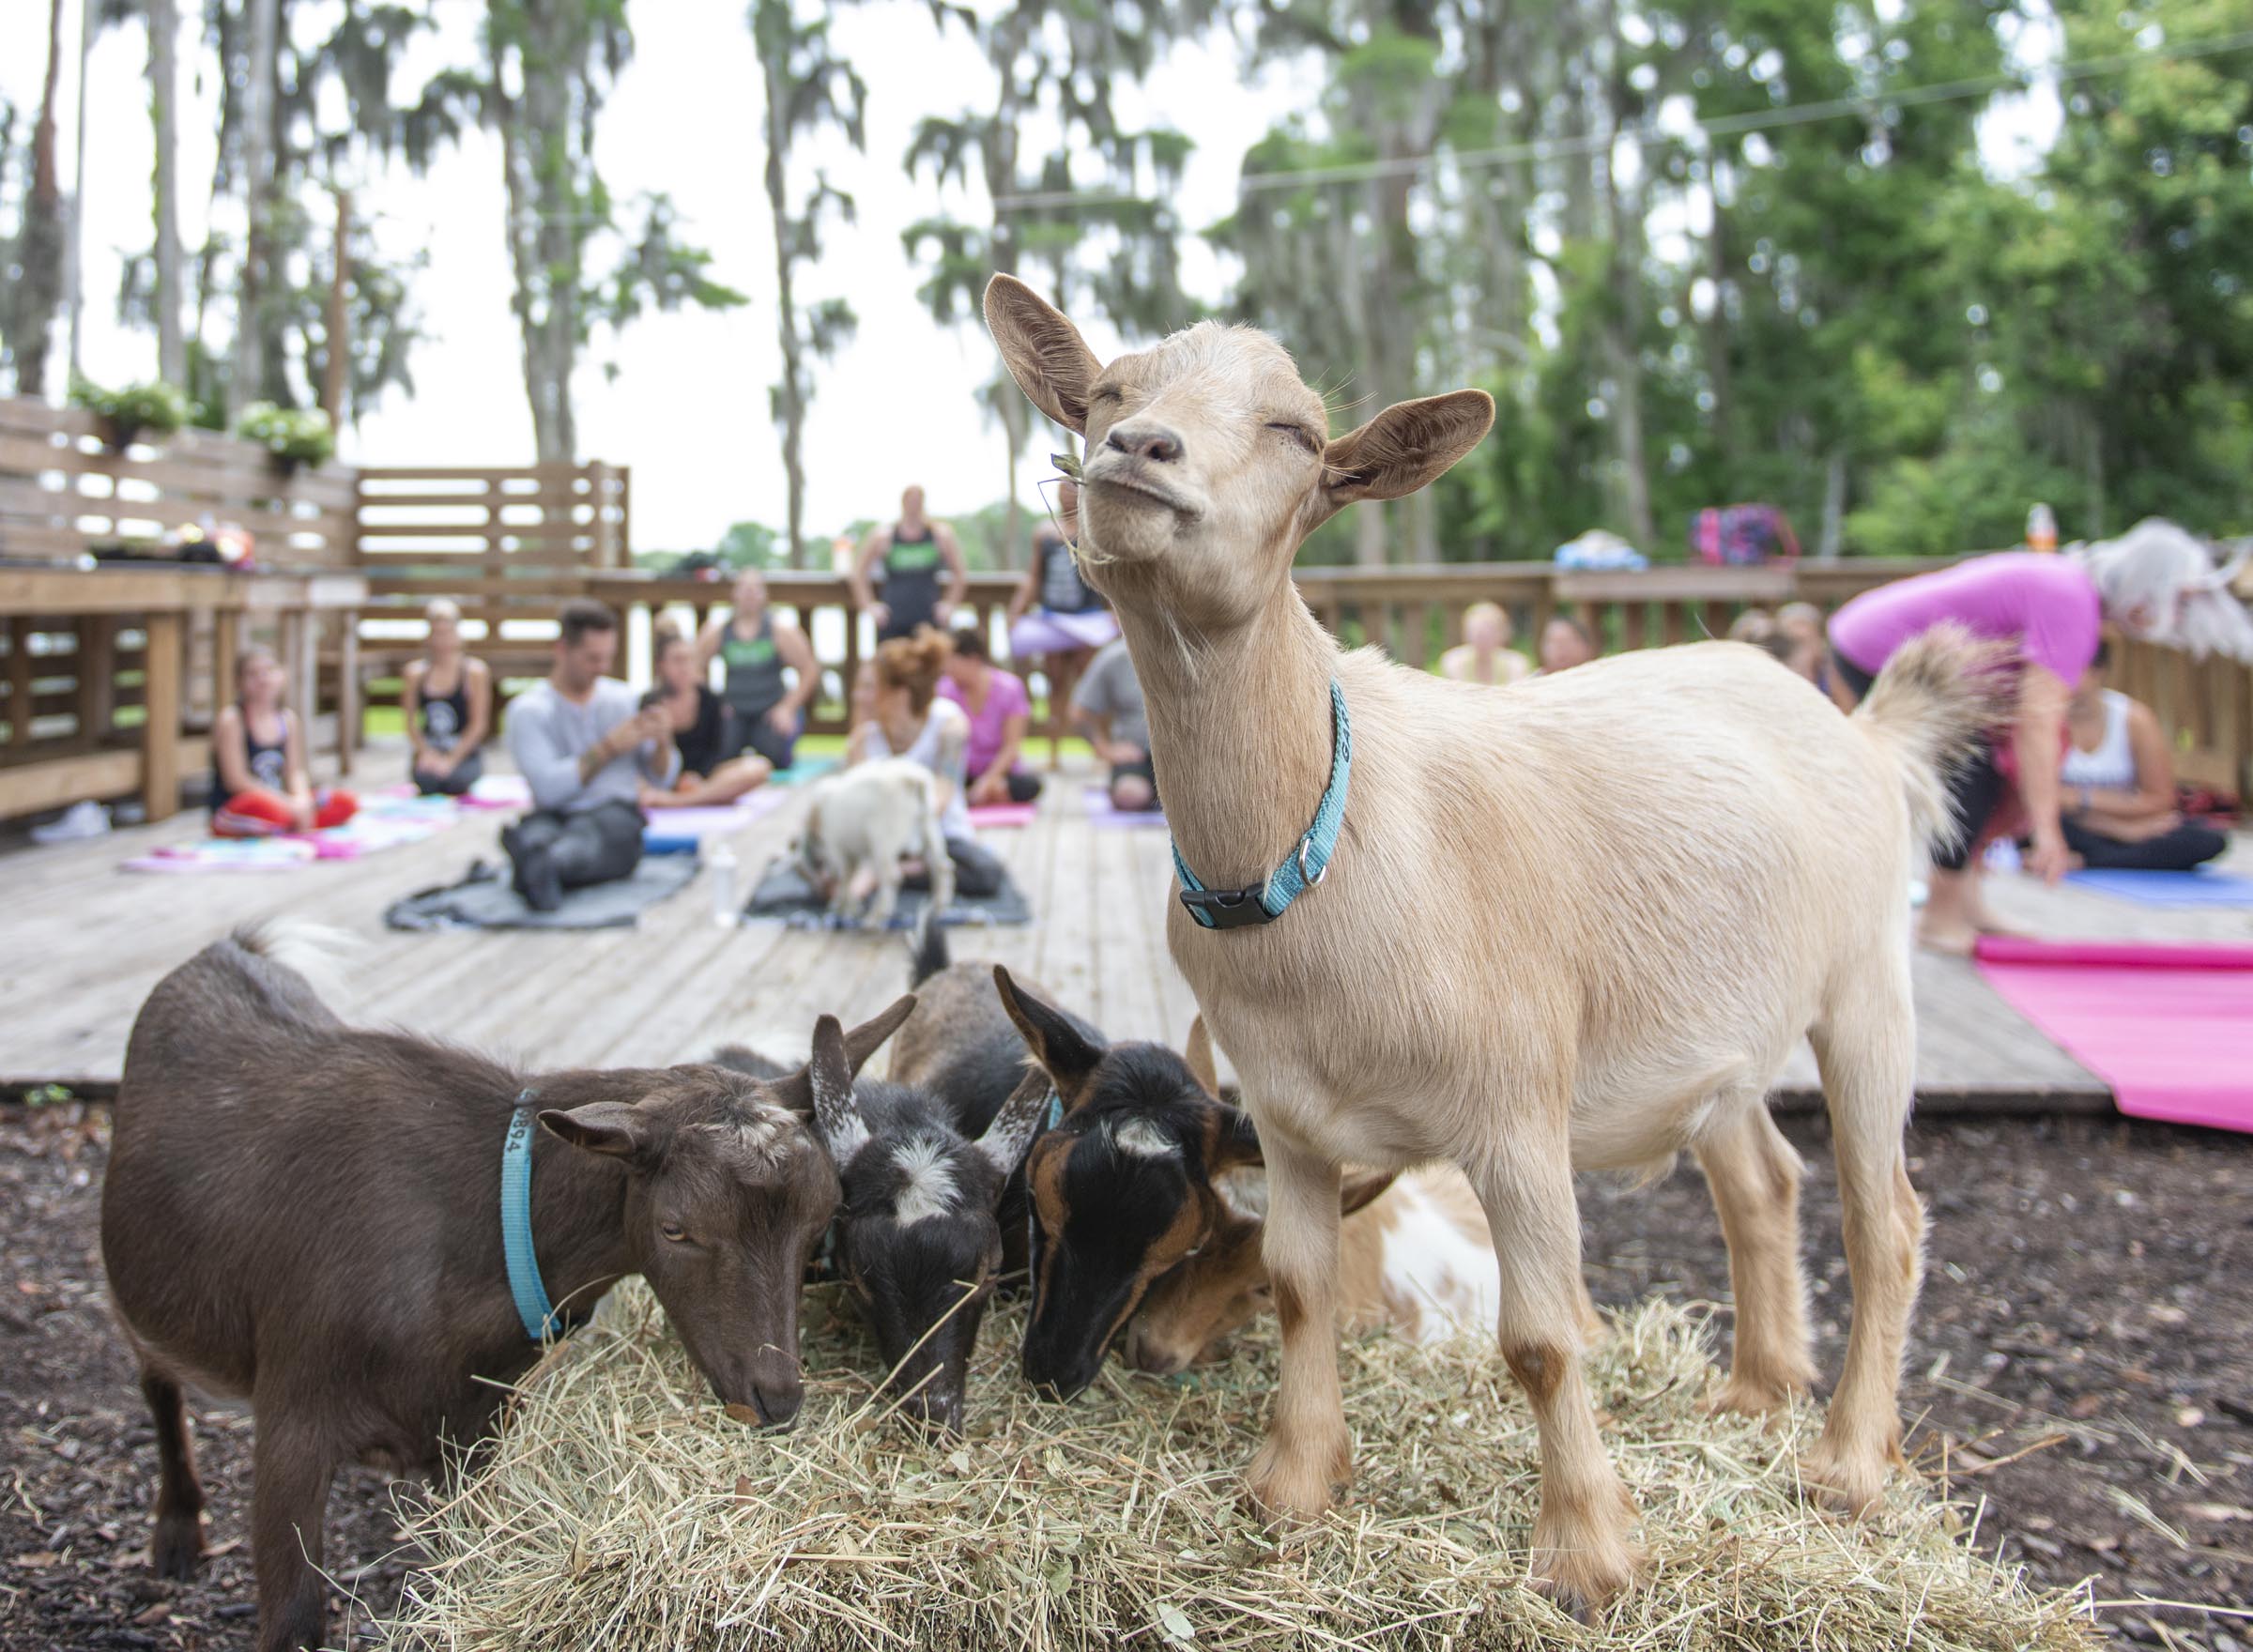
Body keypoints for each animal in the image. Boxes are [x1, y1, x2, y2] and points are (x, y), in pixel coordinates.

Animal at [101, 923, 909, 1652]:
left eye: (820, 1223)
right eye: (676, 1228)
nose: (777, 1398)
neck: (480, 1235)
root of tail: (224, 949)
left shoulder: (471, 1429)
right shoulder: (293, 1420)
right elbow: (294, 1620)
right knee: (155, 1385)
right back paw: (176, 1534)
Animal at [793, 756, 955, 928]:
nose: (819, 866)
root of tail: (914, 780)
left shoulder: (839, 849)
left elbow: (845, 878)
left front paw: (843, 906)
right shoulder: (851, 851)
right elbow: (850, 878)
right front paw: (848, 906)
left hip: (884, 839)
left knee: (892, 876)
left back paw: (876, 916)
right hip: (929, 828)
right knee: (942, 867)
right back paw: (939, 906)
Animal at [985, 272, 2006, 1612]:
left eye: (1298, 432)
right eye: (1107, 391)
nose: (1137, 452)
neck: (1335, 846)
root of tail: (1863, 729)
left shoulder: (1518, 1108)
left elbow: (1541, 1335)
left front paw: (1588, 1555)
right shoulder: (1293, 1118)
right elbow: (1309, 1286)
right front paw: (1292, 1486)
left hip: (1868, 984)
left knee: (1884, 1219)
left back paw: (1843, 1465)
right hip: (1716, 1039)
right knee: (1761, 1183)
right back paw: (1751, 1391)